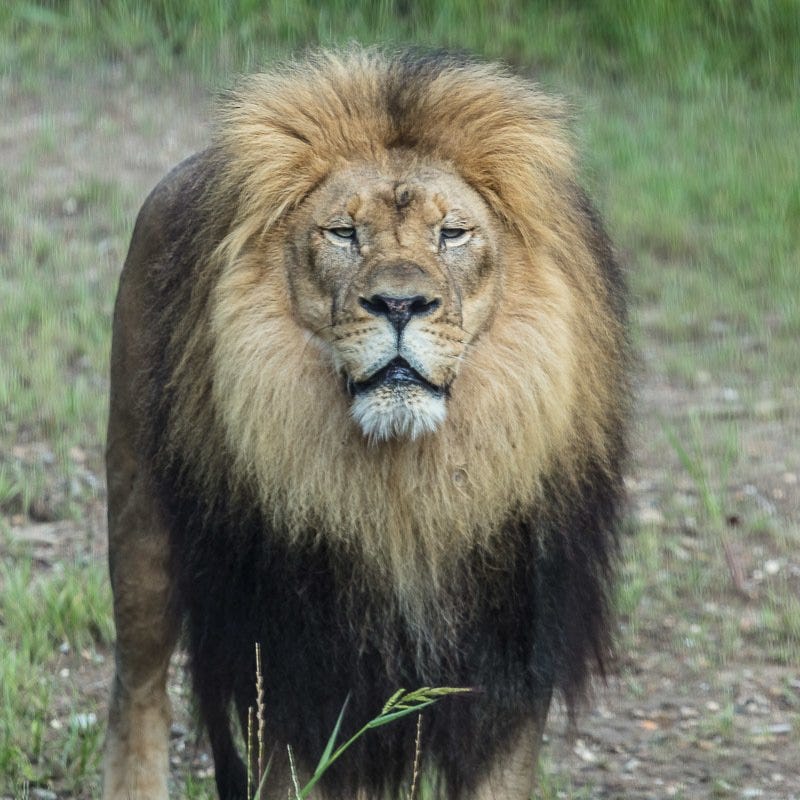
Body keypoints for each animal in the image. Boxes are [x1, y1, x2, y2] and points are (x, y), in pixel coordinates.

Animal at [103, 48, 629, 800]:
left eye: (452, 233)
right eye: (344, 233)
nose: (400, 303)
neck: (405, 494)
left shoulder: (509, 669)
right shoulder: (293, 671)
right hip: (138, 525)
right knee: (137, 694)